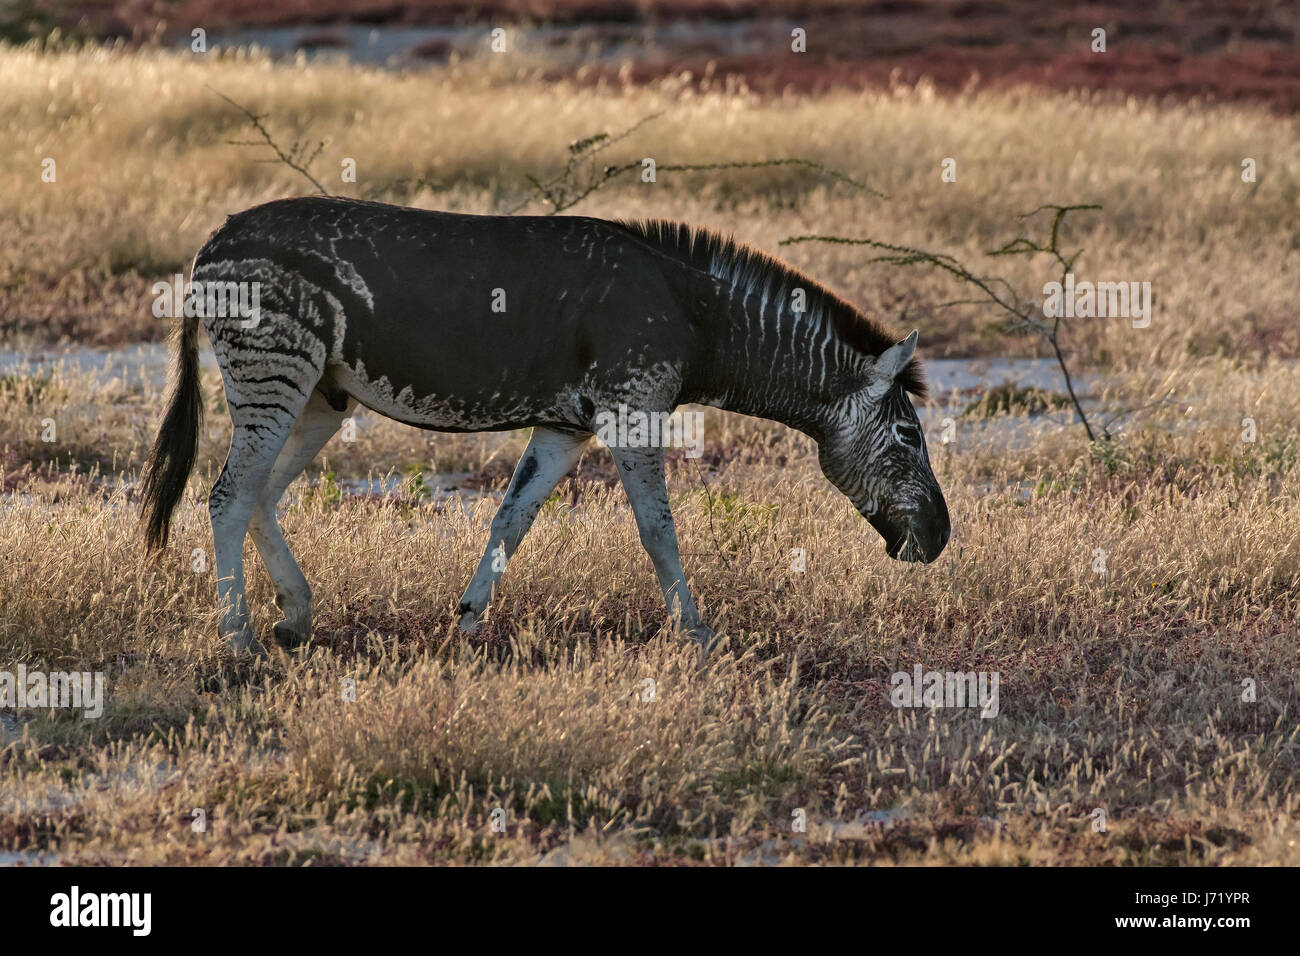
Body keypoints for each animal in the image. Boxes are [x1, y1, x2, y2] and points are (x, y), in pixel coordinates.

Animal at [141, 197, 949, 655]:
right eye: (909, 438)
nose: (940, 542)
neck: (701, 318)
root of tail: (214, 239)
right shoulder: (633, 409)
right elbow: (658, 530)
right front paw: (698, 635)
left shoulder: (568, 428)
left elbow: (512, 519)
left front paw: (467, 624)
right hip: (273, 369)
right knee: (229, 496)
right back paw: (239, 640)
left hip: (318, 394)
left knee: (261, 495)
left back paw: (294, 619)